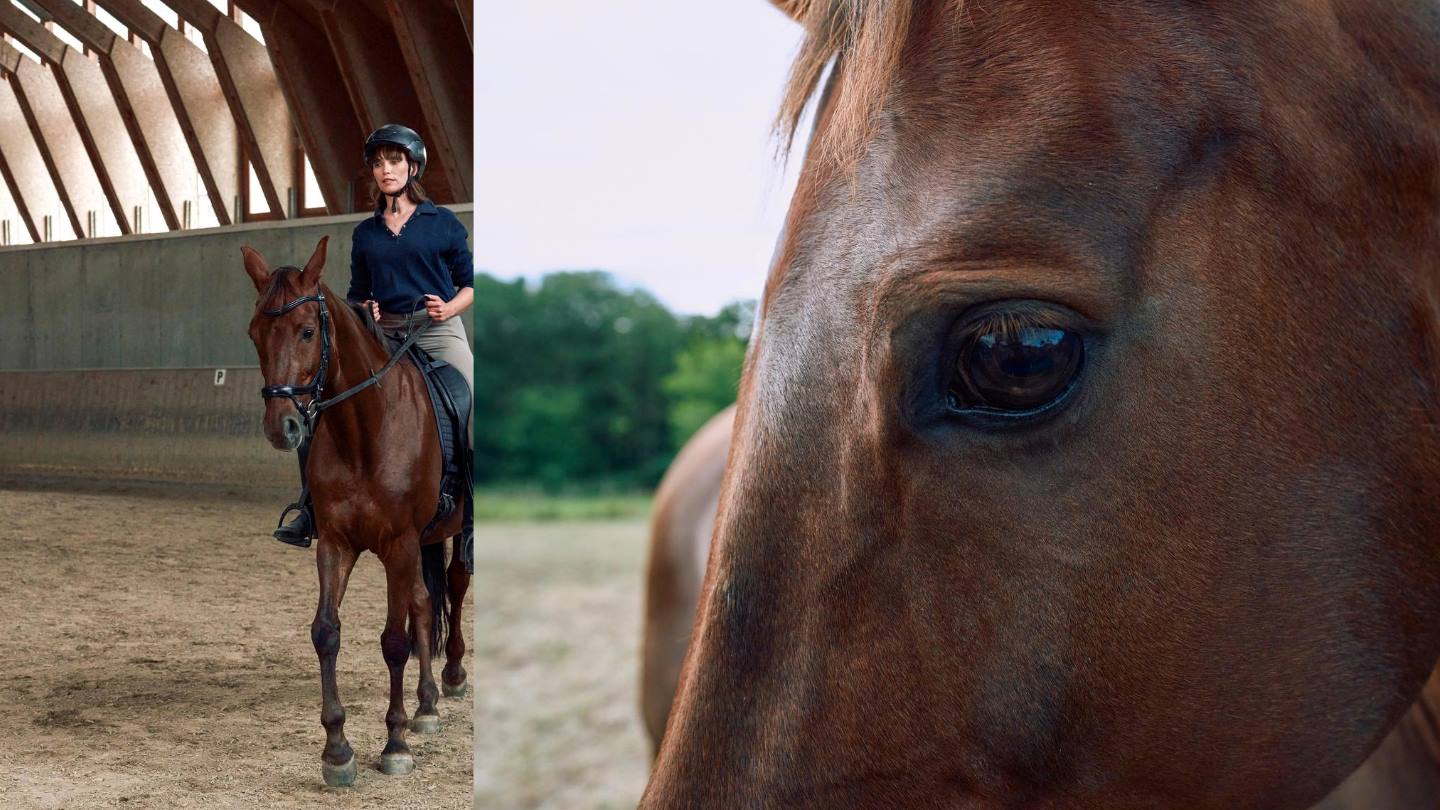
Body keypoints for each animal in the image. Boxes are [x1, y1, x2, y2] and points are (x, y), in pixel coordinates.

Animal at [242, 236, 470, 787]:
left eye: (307, 331)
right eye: (255, 333)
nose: (281, 427)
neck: (365, 431)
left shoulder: (399, 544)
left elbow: (393, 640)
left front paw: (394, 744)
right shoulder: (337, 542)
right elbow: (326, 632)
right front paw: (337, 750)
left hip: (451, 531)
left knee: (453, 584)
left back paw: (452, 678)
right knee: (424, 601)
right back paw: (426, 706)